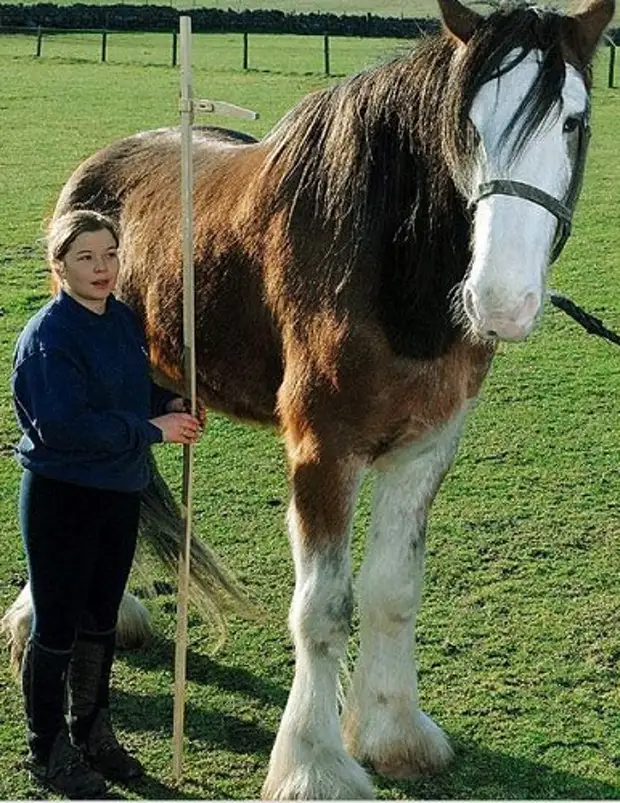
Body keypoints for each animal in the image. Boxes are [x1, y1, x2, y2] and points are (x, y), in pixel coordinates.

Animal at [4, 1, 616, 796]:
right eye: (467, 125)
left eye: (574, 121)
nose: (501, 300)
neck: (390, 274)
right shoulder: (325, 452)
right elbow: (323, 610)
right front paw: (314, 765)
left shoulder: (423, 452)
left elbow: (393, 591)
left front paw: (393, 733)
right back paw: (32, 619)